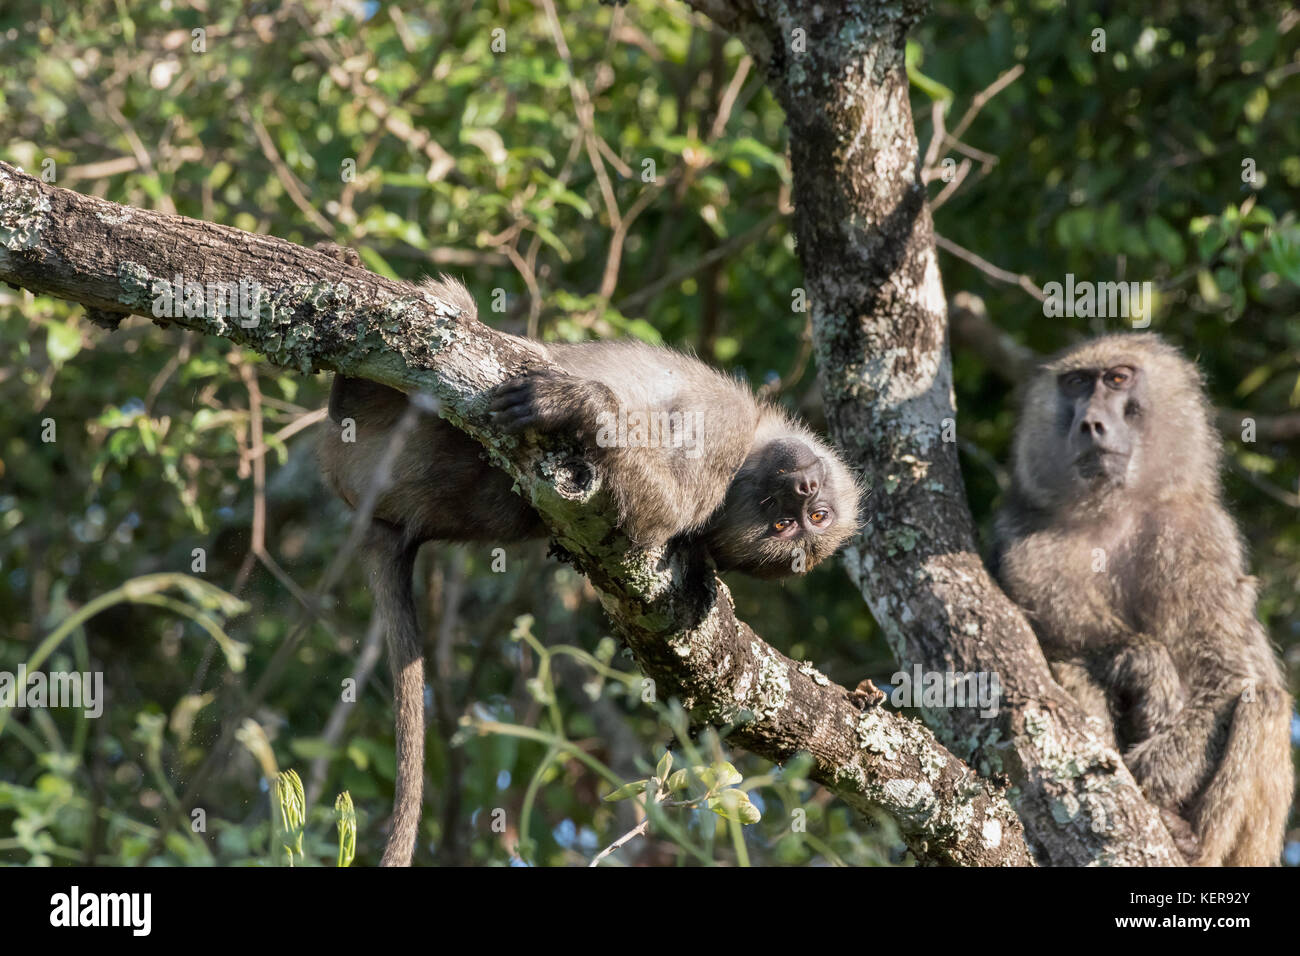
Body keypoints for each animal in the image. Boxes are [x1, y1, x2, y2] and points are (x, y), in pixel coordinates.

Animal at [312, 246, 862, 865]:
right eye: (807, 517)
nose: (805, 490)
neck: (749, 447)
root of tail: (382, 513)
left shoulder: (716, 457)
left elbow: (658, 515)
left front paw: (580, 407)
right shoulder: (728, 417)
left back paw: (354, 391)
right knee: (450, 313)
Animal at [992, 333, 1294, 866]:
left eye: (1117, 378)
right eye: (1076, 383)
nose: (1091, 423)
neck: (1112, 509)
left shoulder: (1197, 535)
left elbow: (1228, 677)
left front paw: (1149, 774)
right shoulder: (1023, 544)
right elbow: (1053, 651)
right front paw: (1141, 661)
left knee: (1265, 701)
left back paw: (1189, 841)